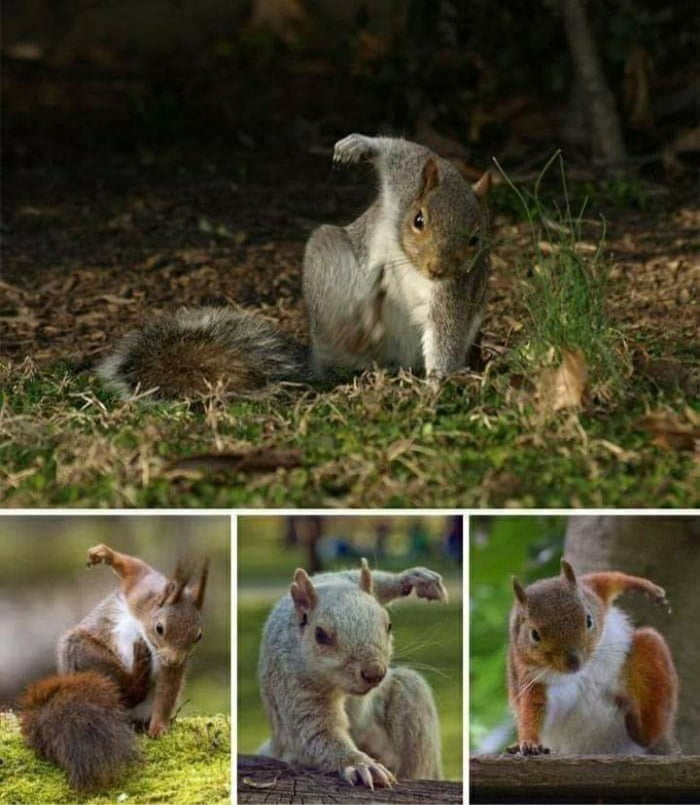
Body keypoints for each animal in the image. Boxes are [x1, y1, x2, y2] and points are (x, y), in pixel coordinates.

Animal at [19, 543, 209, 791]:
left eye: (198, 636)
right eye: (160, 628)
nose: (174, 660)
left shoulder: (172, 664)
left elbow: (168, 688)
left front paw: (159, 727)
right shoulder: (140, 589)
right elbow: (134, 568)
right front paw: (103, 554)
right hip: (83, 654)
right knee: (125, 690)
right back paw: (137, 671)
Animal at [97, 133, 491, 400]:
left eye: (475, 239)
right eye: (418, 220)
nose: (437, 268)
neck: (410, 259)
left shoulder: (454, 290)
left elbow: (446, 332)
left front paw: (438, 383)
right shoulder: (405, 178)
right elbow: (396, 149)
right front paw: (356, 146)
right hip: (327, 260)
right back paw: (357, 330)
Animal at [257, 558, 447, 789]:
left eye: (389, 625)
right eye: (320, 635)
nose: (374, 673)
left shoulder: (339, 580)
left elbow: (368, 578)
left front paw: (417, 577)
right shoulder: (294, 684)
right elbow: (318, 732)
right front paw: (360, 764)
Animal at [507, 558, 679, 756]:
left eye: (589, 620)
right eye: (534, 635)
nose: (573, 662)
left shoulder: (593, 591)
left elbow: (611, 579)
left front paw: (648, 587)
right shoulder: (532, 679)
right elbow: (532, 710)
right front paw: (528, 742)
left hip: (650, 655)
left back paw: (639, 727)